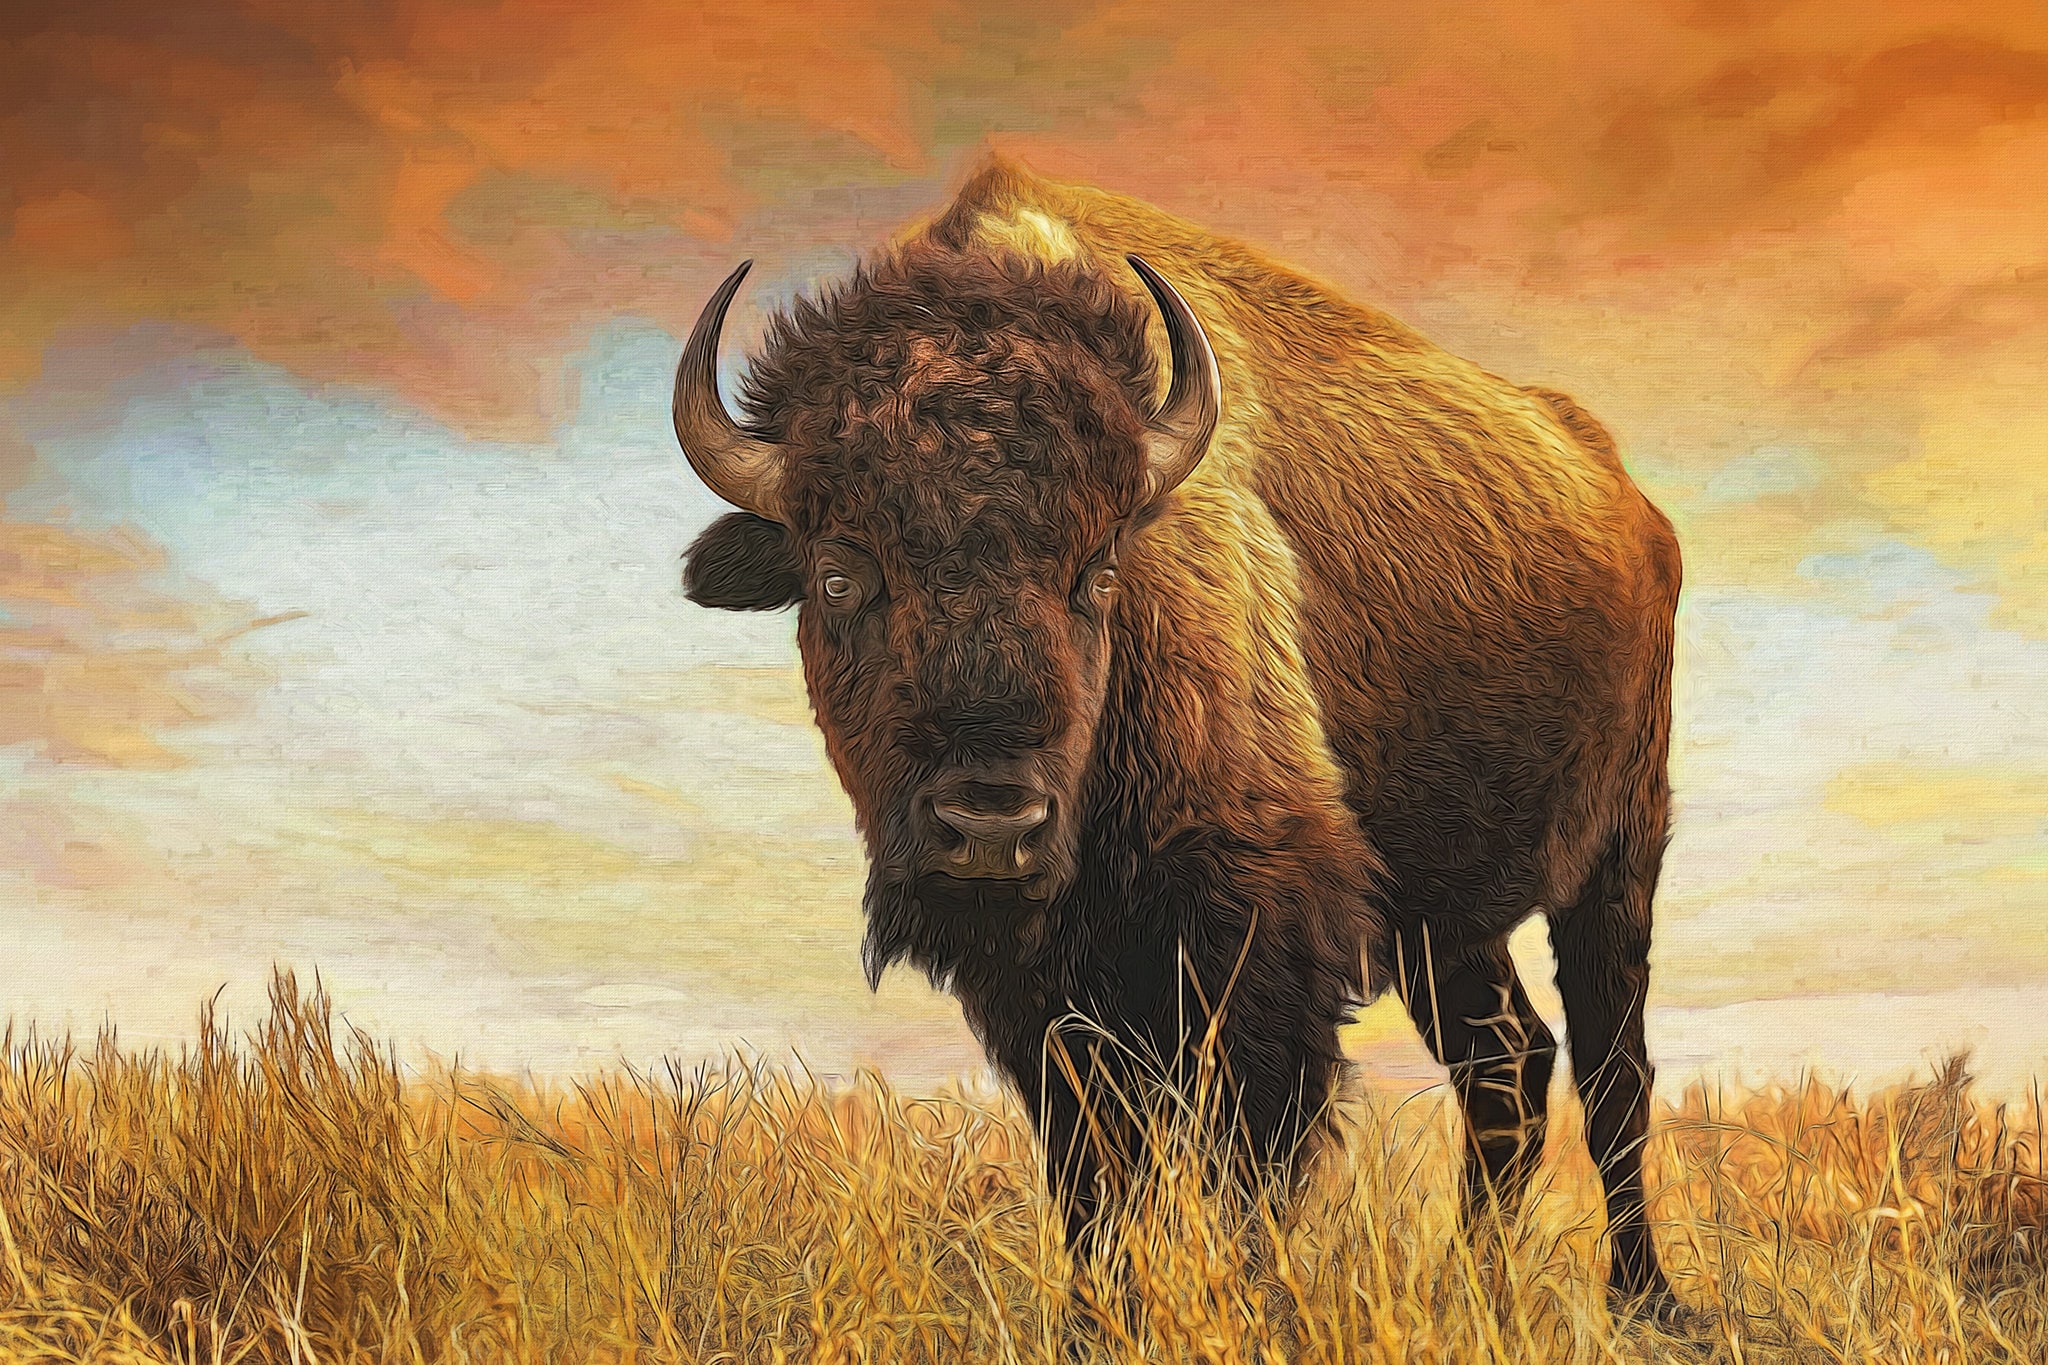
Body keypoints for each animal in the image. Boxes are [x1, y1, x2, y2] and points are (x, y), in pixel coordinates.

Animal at [674, 157, 1684, 1315]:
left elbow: (1247, 1164)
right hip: (1442, 919)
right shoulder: (1041, 996)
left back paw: (1644, 1300)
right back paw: (1462, 1287)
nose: (991, 827)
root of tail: (1631, 504)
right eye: (838, 572)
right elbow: (1093, 1180)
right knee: (1507, 1064)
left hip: (1616, 857)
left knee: (1611, 1069)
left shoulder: (1259, 944)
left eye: (1100, 568)